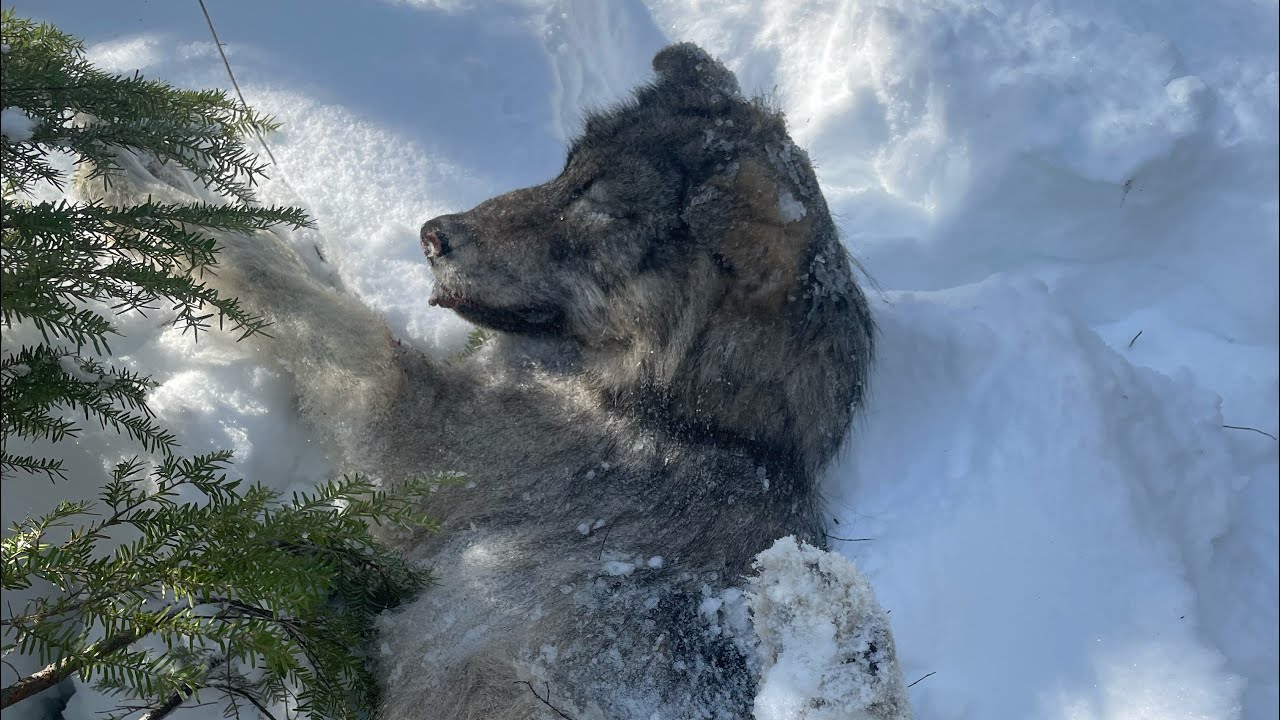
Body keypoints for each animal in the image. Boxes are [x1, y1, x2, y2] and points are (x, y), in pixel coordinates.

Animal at [89, 43, 909, 720]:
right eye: (564, 168)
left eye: (592, 207)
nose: (429, 234)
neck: (692, 418)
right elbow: (298, 264)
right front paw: (176, 172)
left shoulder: (399, 429)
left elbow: (289, 288)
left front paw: (127, 186)